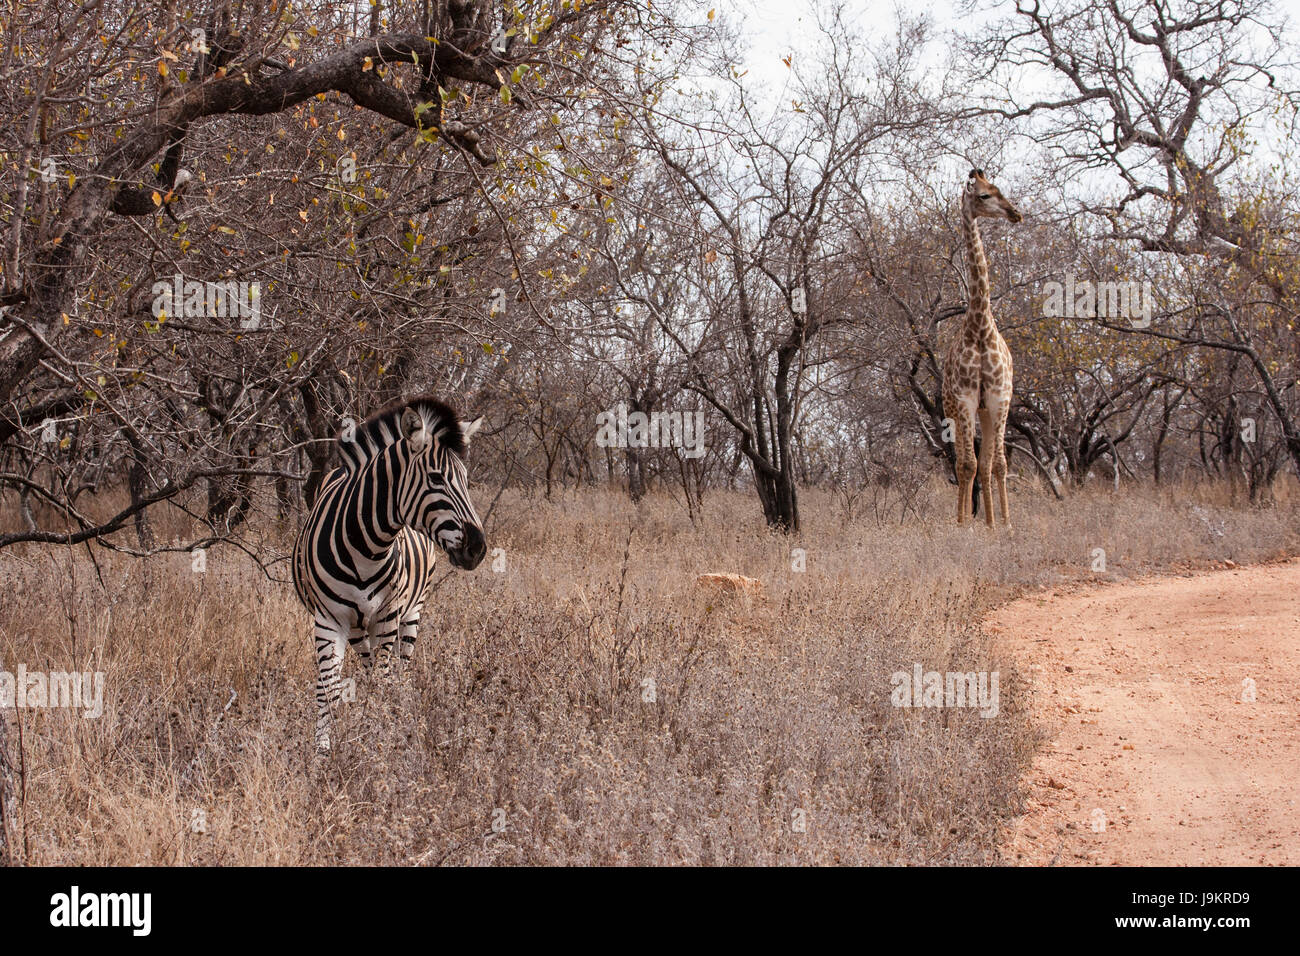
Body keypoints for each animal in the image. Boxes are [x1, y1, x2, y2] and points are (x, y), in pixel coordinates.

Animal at [292, 395, 487, 752]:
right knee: (369, 670)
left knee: (399, 673)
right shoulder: (328, 620)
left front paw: (382, 742)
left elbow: (383, 683)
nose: (478, 548)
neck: (365, 546)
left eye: (466, 481)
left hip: (410, 615)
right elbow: (327, 689)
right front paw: (323, 751)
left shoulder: (387, 617)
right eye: (436, 479)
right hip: (358, 627)